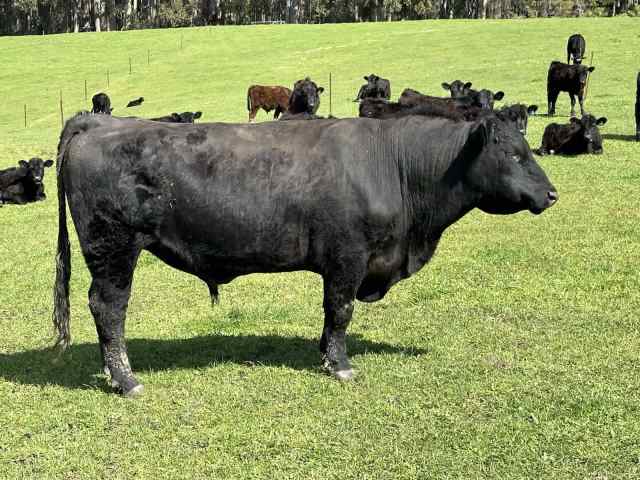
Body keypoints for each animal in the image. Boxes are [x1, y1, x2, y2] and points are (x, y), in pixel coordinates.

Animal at [53, 112, 557, 397]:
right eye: (515, 155)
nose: (551, 193)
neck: (394, 166)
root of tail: (98, 122)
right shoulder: (348, 258)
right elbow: (341, 311)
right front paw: (340, 365)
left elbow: (331, 315)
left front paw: (324, 354)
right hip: (113, 248)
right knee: (108, 308)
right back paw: (126, 379)